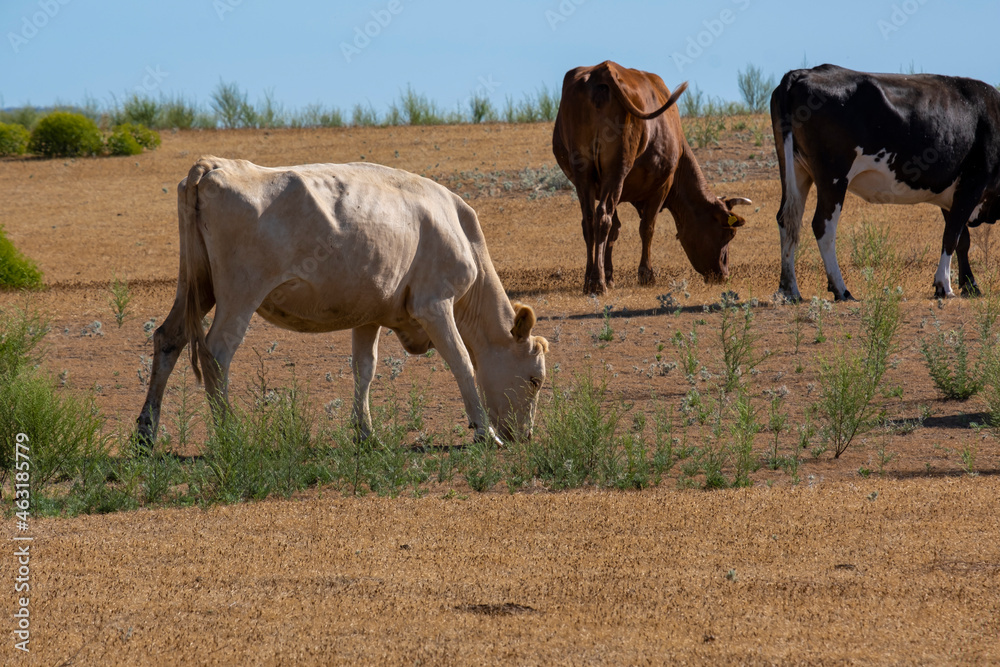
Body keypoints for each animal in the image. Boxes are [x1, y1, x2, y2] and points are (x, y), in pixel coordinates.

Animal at [136, 157, 549, 449]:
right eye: (536, 380)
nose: (525, 437)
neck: (460, 230)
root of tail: (215, 165)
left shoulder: (370, 312)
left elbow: (364, 369)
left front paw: (366, 435)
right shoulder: (435, 303)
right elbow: (462, 362)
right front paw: (485, 433)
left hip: (196, 283)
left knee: (169, 338)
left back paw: (145, 434)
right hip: (240, 293)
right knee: (218, 352)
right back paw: (228, 433)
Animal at [552, 60, 752, 295]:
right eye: (729, 234)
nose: (723, 275)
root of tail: (603, 68)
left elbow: (615, 230)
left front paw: (610, 275)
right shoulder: (662, 186)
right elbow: (647, 228)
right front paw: (646, 275)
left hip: (584, 173)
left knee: (590, 220)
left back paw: (589, 280)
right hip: (617, 168)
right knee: (603, 217)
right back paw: (598, 283)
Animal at [771, 64, 1000, 301]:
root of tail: (801, 73)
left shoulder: (951, 195)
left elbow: (962, 240)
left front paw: (971, 286)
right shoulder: (972, 185)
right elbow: (952, 236)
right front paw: (945, 286)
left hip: (795, 170)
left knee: (787, 220)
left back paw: (789, 290)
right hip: (834, 177)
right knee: (823, 225)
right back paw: (841, 290)